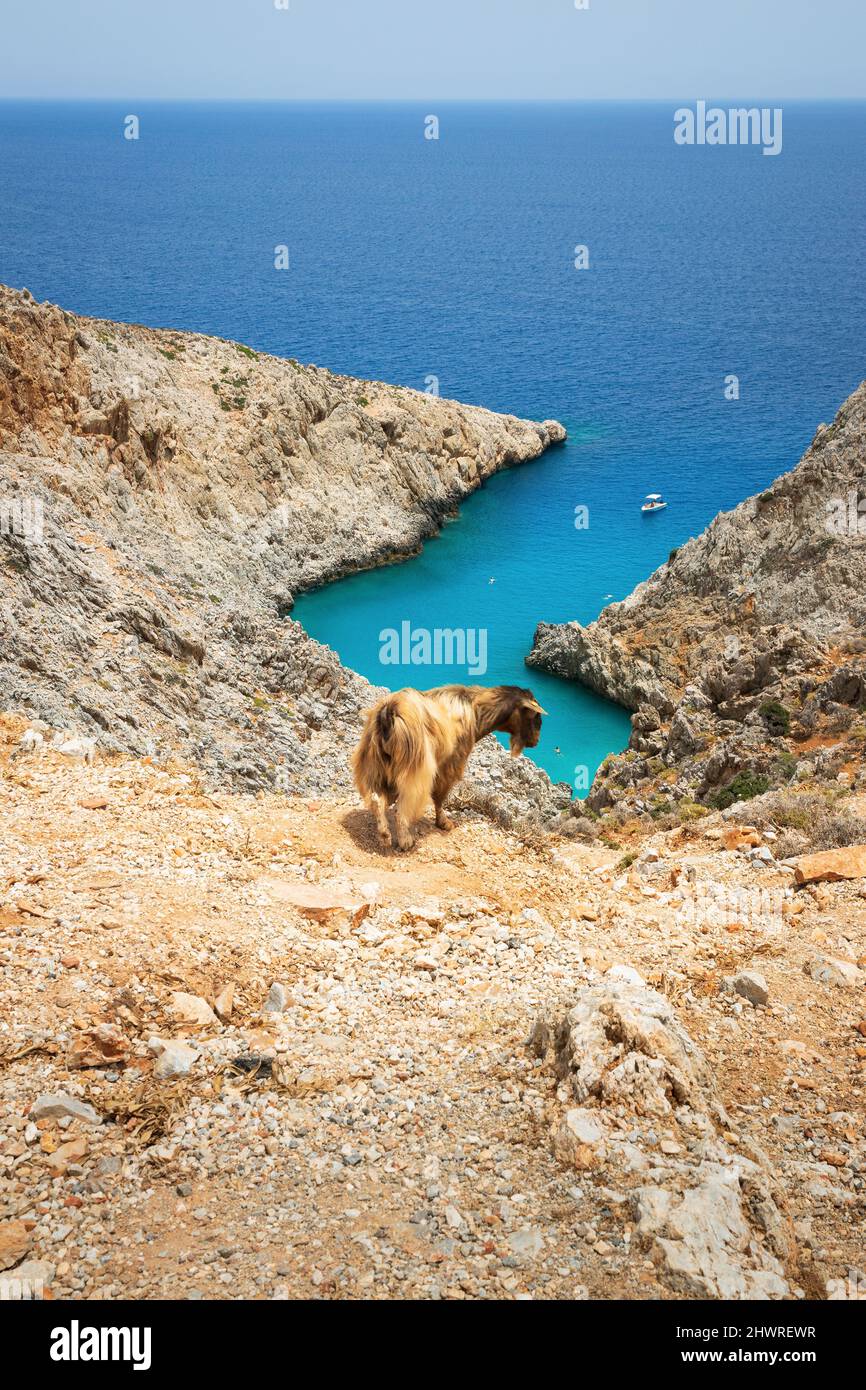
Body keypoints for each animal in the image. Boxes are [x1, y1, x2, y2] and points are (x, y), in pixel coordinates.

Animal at [351, 684, 546, 851]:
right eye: (535, 716)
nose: (536, 741)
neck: (476, 710)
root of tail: (388, 713)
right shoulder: (450, 765)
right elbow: (439, 797)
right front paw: (444, 823)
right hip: (414, 768)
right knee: (404, 806)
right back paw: (405, 840)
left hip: (375, 762)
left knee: (376, 797)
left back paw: (384, 835)